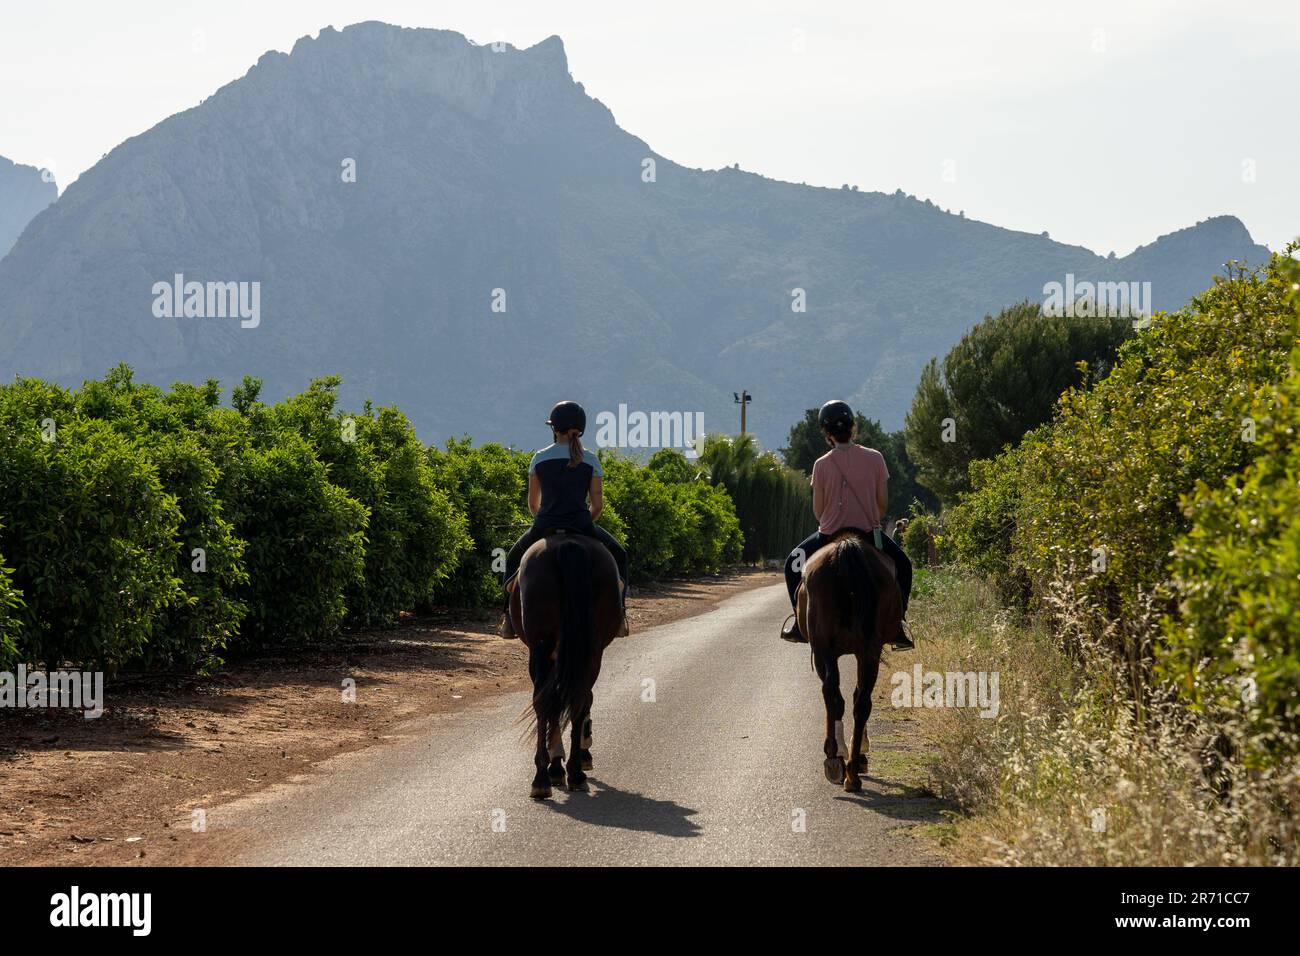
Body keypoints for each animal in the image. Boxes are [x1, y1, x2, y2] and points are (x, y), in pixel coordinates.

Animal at [509, 530, 622, 799]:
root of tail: (568, 543)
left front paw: (558, 763)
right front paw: (573, 756)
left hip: (543, 647)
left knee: (547, 700)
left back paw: (545, 777)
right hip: (587, 649)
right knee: (578, 696)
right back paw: (572, 772)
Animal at [795, 529, 903, 793]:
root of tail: (846, 547)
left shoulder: (825, 652)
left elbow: (835, 696)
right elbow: (855, 696)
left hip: (825, 648)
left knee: (833, 694)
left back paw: (836, 759)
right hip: (868, 649)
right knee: (861, 701)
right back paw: (852, 773)